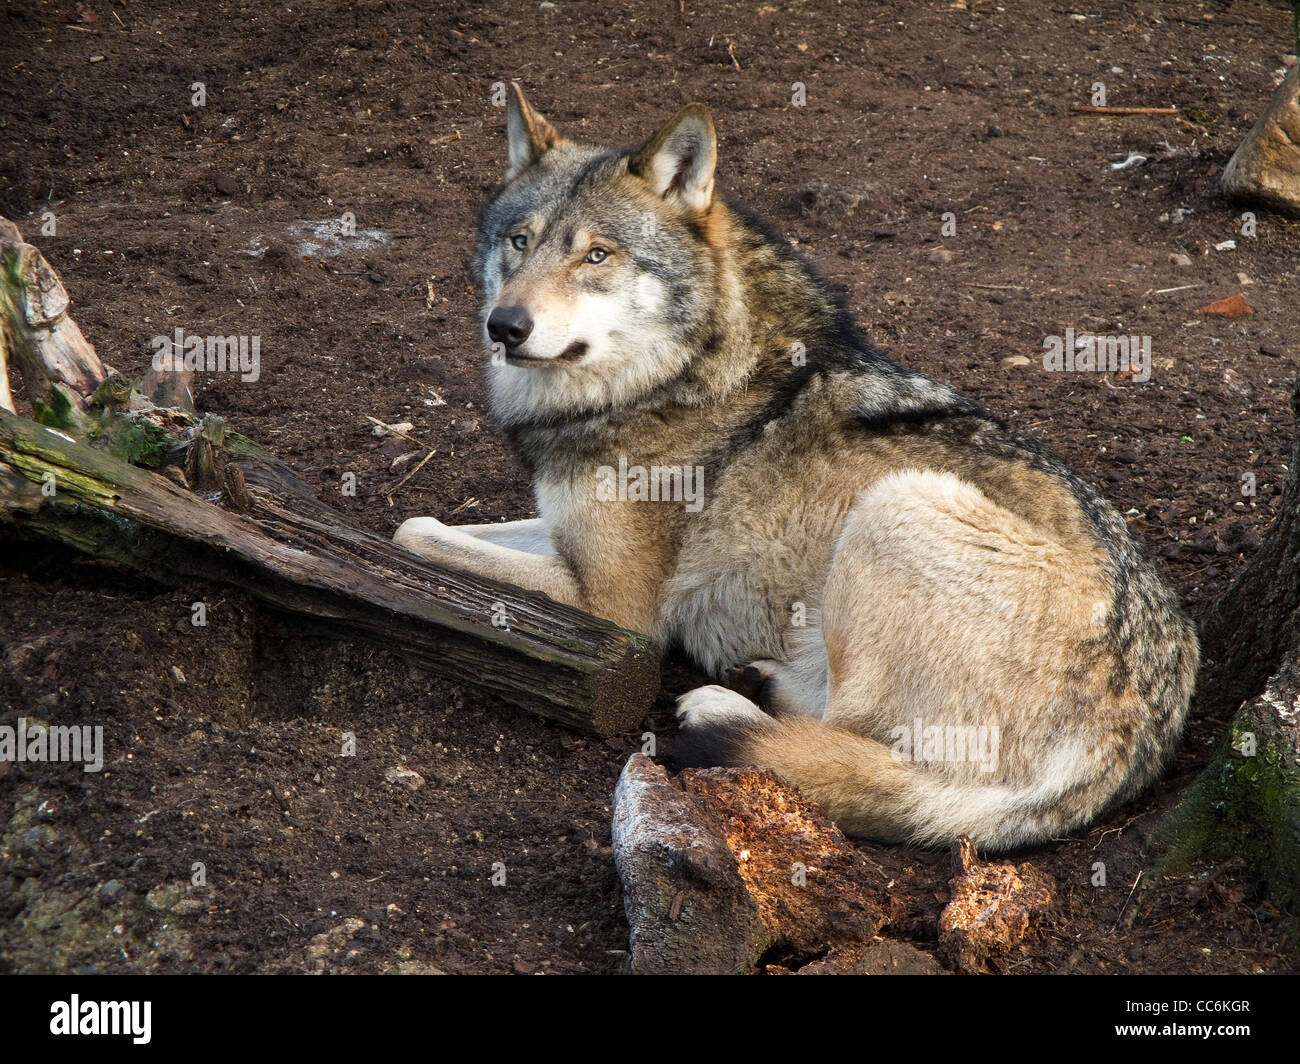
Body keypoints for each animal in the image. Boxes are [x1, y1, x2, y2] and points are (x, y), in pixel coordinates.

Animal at [394, 84, 1199, 850]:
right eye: (518, 242)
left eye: (597, 255)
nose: (505, 325)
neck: (676, 374)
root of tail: (1134, 734)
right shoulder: (566, 535)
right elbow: (420, 524)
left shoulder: (614, 606)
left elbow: (422, 539)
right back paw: (754, 680)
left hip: (894, 508)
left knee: (848, 742)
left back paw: (725, 708)